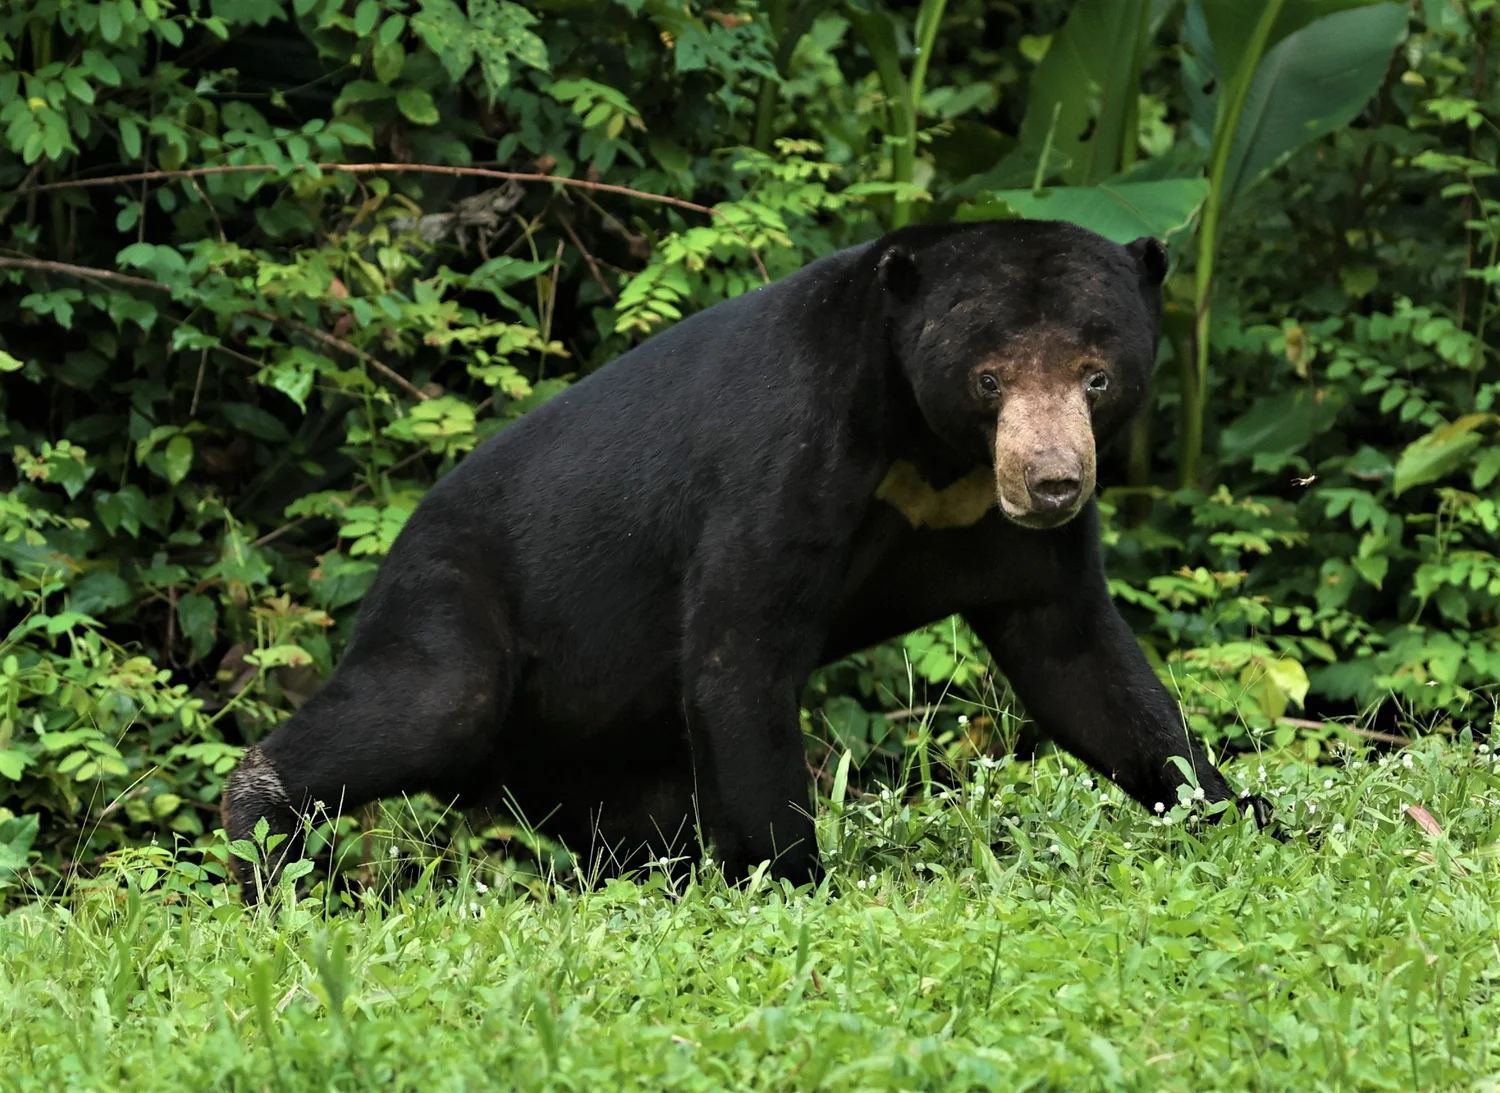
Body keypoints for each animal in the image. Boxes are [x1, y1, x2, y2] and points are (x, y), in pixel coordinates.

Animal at [221, 219, 1265, 902]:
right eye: (988, 377)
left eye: (1097, 374)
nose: (1052, 483)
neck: (931, 455)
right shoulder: (786, 454)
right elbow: (739, 649)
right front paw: (798, 881)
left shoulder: (1002, 537)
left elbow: (1082, 663)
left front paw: (1242, 811)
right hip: (457, 599)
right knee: (434, 699)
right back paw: (268, 845)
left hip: (605, 754)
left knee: (636, 820)